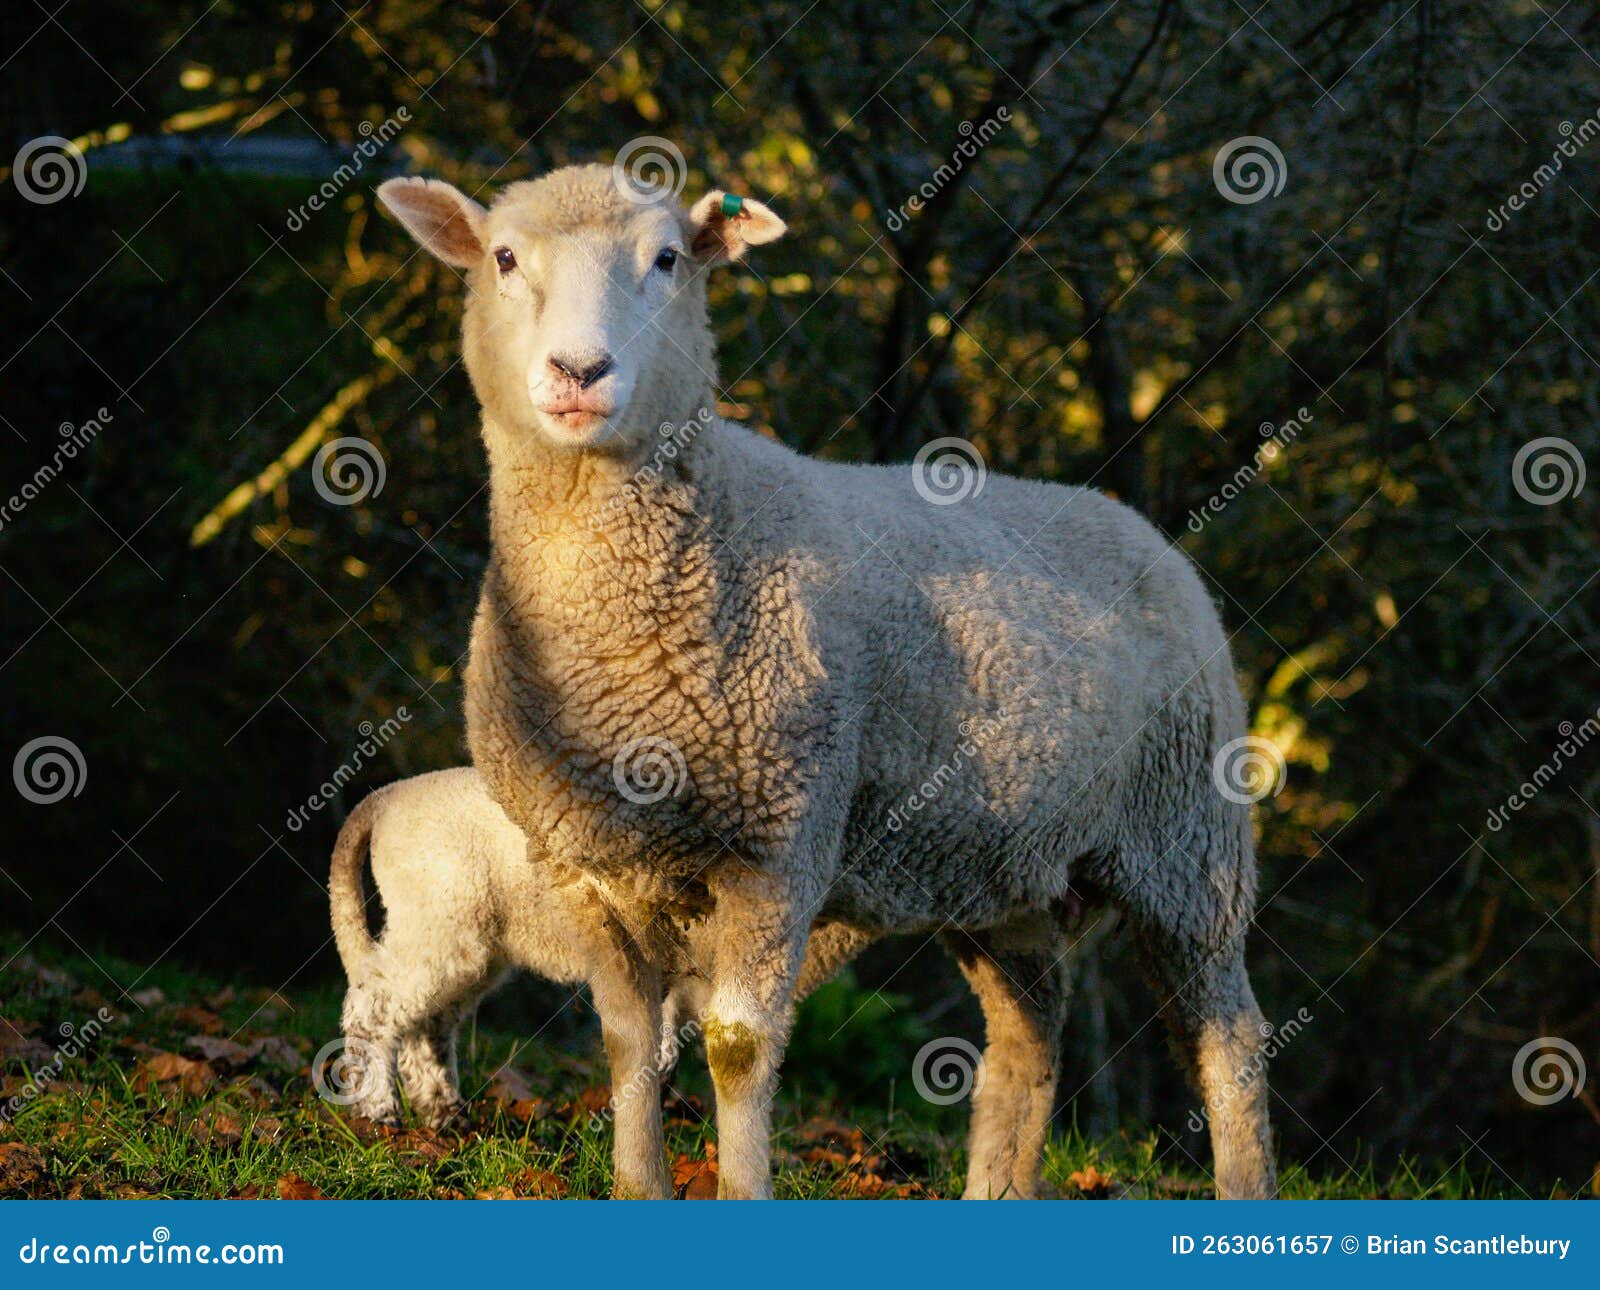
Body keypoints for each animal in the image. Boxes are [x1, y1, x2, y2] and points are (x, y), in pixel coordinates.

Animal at [328, 767, 871, 1186]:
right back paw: (378, 1113)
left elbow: (664, 1039)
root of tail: (383, 799)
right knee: (373, 1009)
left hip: (469, 939)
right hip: (437, 917)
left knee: (431, 1024)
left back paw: (446, 1116)